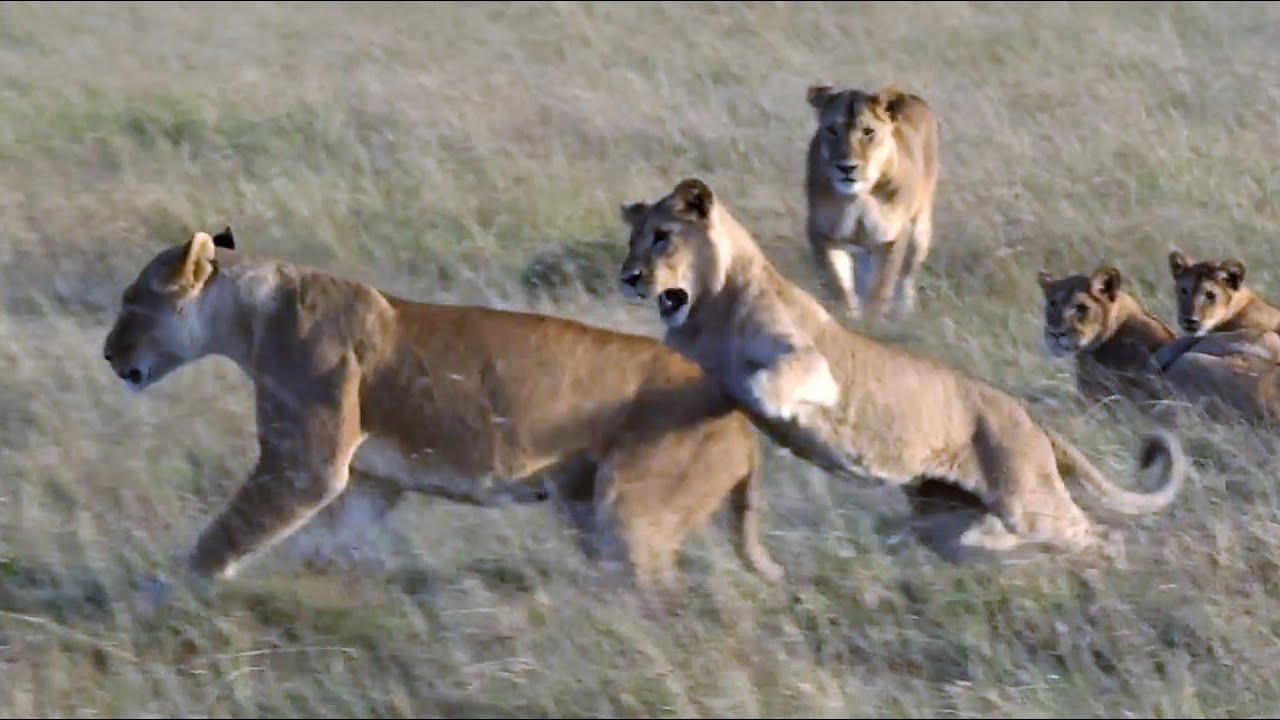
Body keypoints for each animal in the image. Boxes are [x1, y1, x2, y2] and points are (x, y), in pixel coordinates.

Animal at [102, 226, 785, 601]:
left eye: (133, 303)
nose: (108, 354)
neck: (249, 316)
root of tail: (739, 417)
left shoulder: (304, 465)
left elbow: (224, 537)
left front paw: (165, 597)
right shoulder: (368, 482)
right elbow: (317, 546)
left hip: (631, 516)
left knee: (665, 599)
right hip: (595, 511)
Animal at [619, 178, 1186, 562]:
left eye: (663, 236)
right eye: (633, 238)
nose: (628, 277)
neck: (706, 312)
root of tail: (1031, 420)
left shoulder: (815, 367)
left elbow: (766, 381)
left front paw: (754, 401)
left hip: (1029, 499)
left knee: (1102, 536)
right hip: (949, 518)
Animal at [803, 83, 940, 325]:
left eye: (868, 132)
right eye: (832, 130)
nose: (846, 167)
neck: (859, 197)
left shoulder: (892, 237)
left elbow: (882, 285)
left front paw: (873, 321)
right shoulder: (822, 232)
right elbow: (838, 281)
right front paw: (848, 315)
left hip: (919, 230)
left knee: (907, 277)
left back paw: (903, 310)